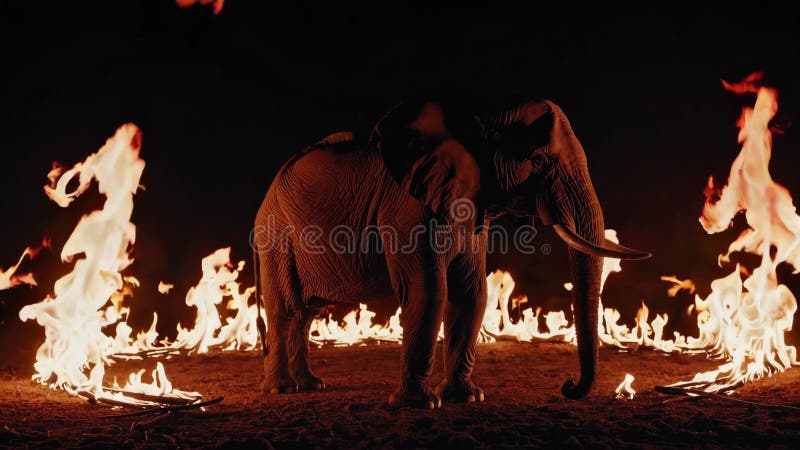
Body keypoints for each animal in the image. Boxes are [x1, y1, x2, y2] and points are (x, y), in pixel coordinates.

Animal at [251, 97, 650, 408]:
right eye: (537, 162)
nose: (567, 387)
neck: (481, 116)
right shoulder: (407, 208)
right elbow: (429, 290)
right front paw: (416, 404)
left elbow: (471, 290)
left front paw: (466, 398)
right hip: (277, 234)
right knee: (286, 308)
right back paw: (283, 390)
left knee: (307, 312)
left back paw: (311, 385)